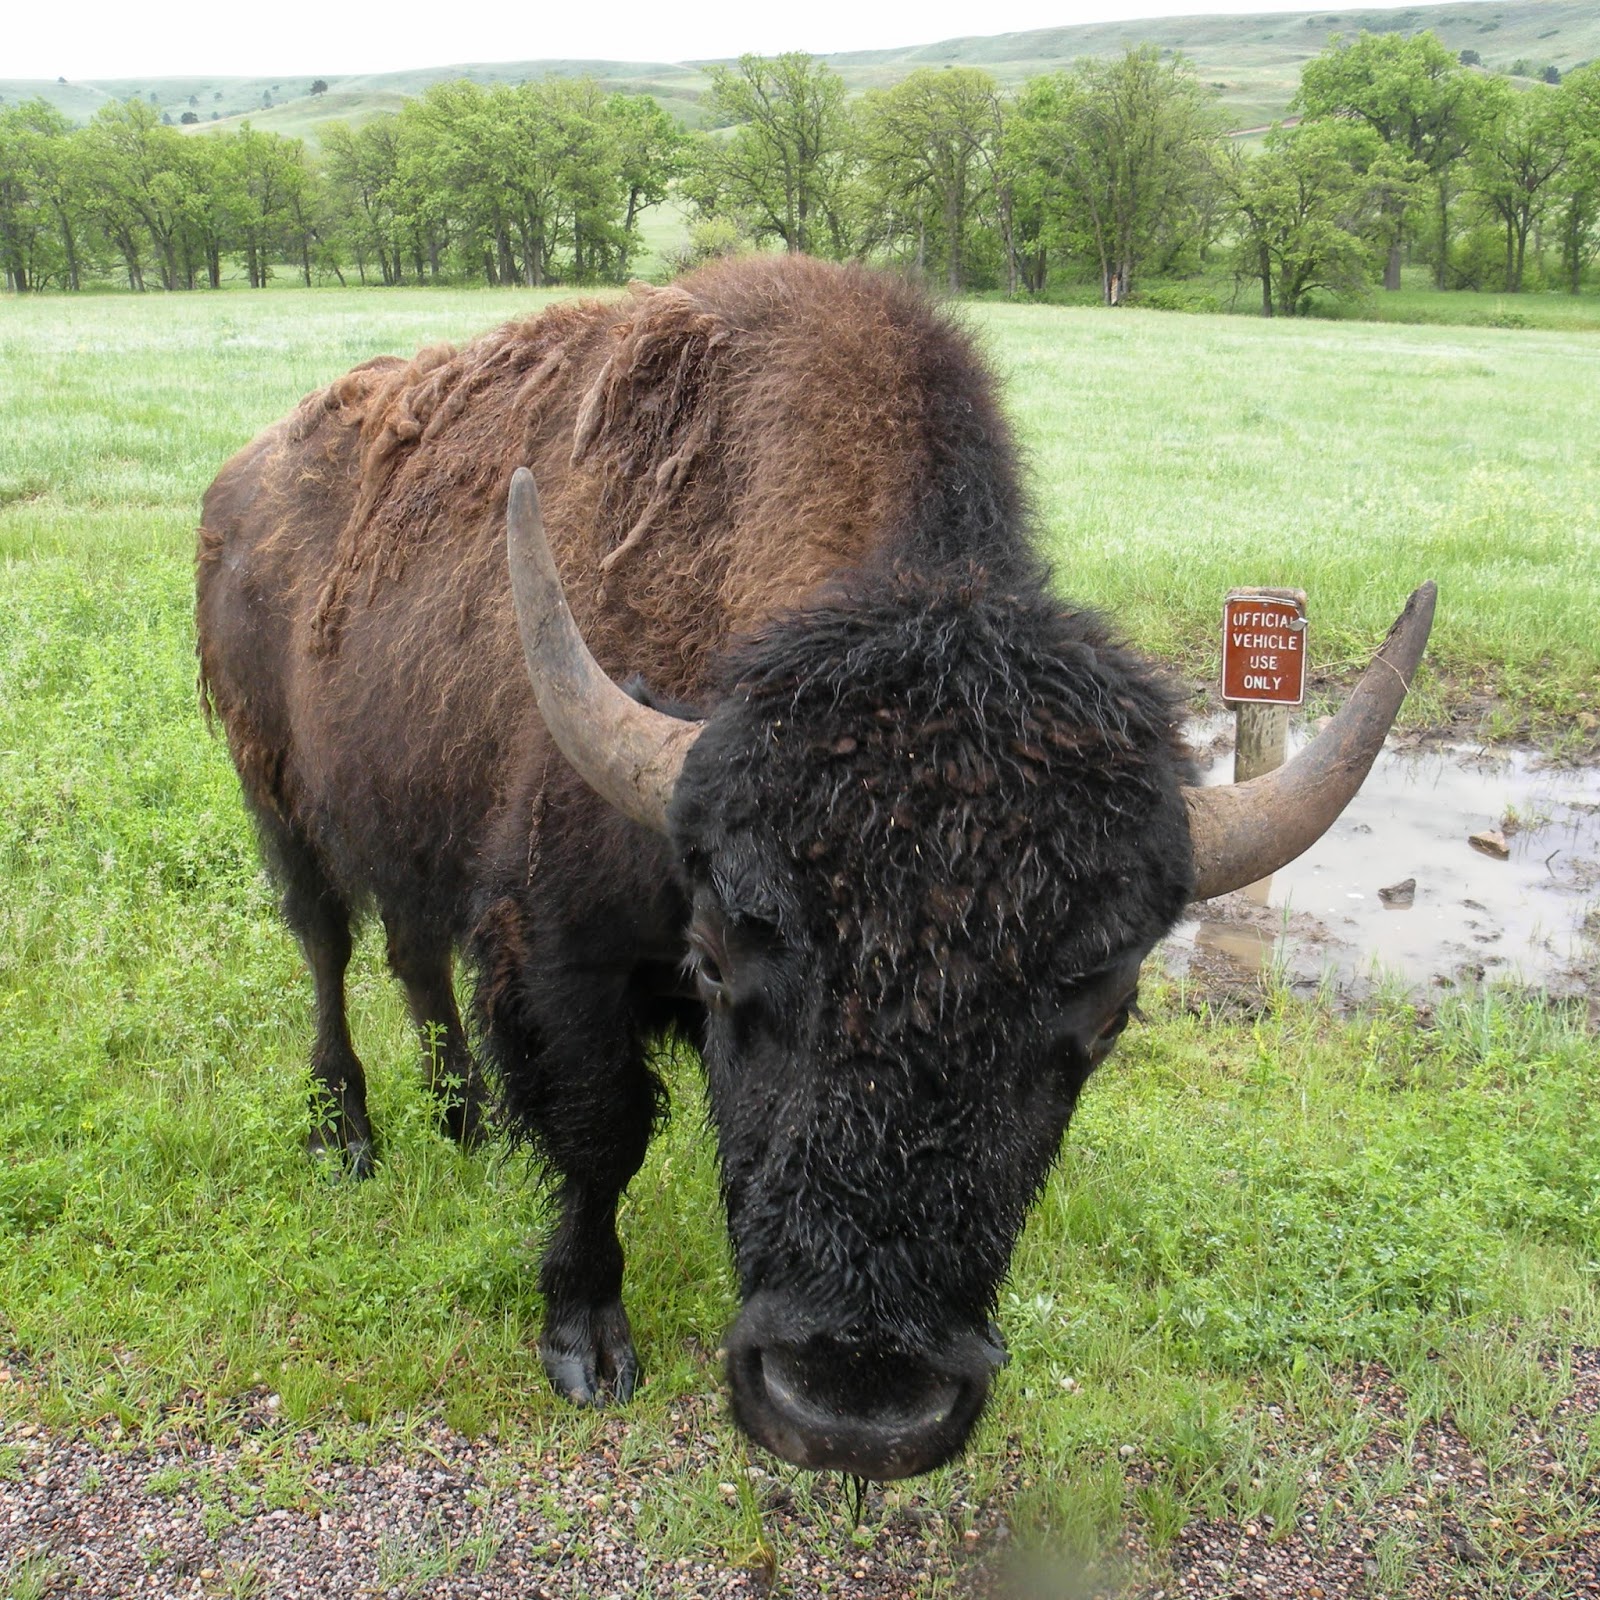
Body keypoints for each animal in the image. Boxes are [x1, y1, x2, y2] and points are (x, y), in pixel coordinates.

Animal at [197, 255, 1433, 1480]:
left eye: (1108, 1008)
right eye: (714, 957)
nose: (853, 1405)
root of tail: (244, 476)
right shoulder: (559, 951)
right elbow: (604, 1133)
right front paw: (587, 1344)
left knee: (412, 959)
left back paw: (468, 1122)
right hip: (277, 796)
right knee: (327, 949)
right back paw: (348, 1134)